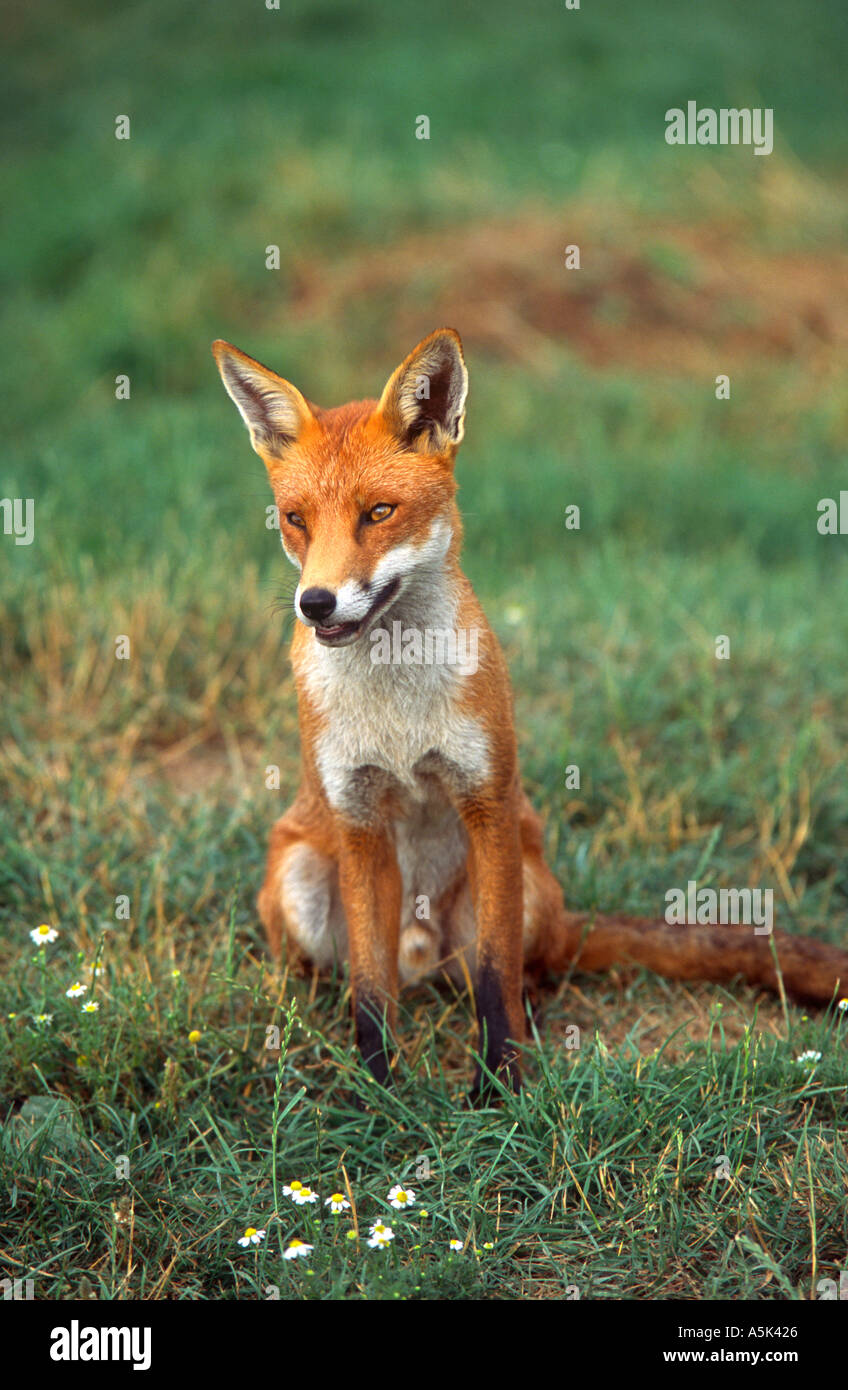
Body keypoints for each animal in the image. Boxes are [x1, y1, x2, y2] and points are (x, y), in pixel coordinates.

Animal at [213, 328, 848, 1101]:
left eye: (378, 513)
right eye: (296, 519)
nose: (316, 603)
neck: (398, 717)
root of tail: (422, 957)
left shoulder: (487, 804)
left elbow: (496, 975)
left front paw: (500, 1085)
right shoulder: (358, 817)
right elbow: (370, 988)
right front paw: (379, 1093)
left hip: (525, 885)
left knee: (527, 968)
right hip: (300, 877)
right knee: (354, 974)